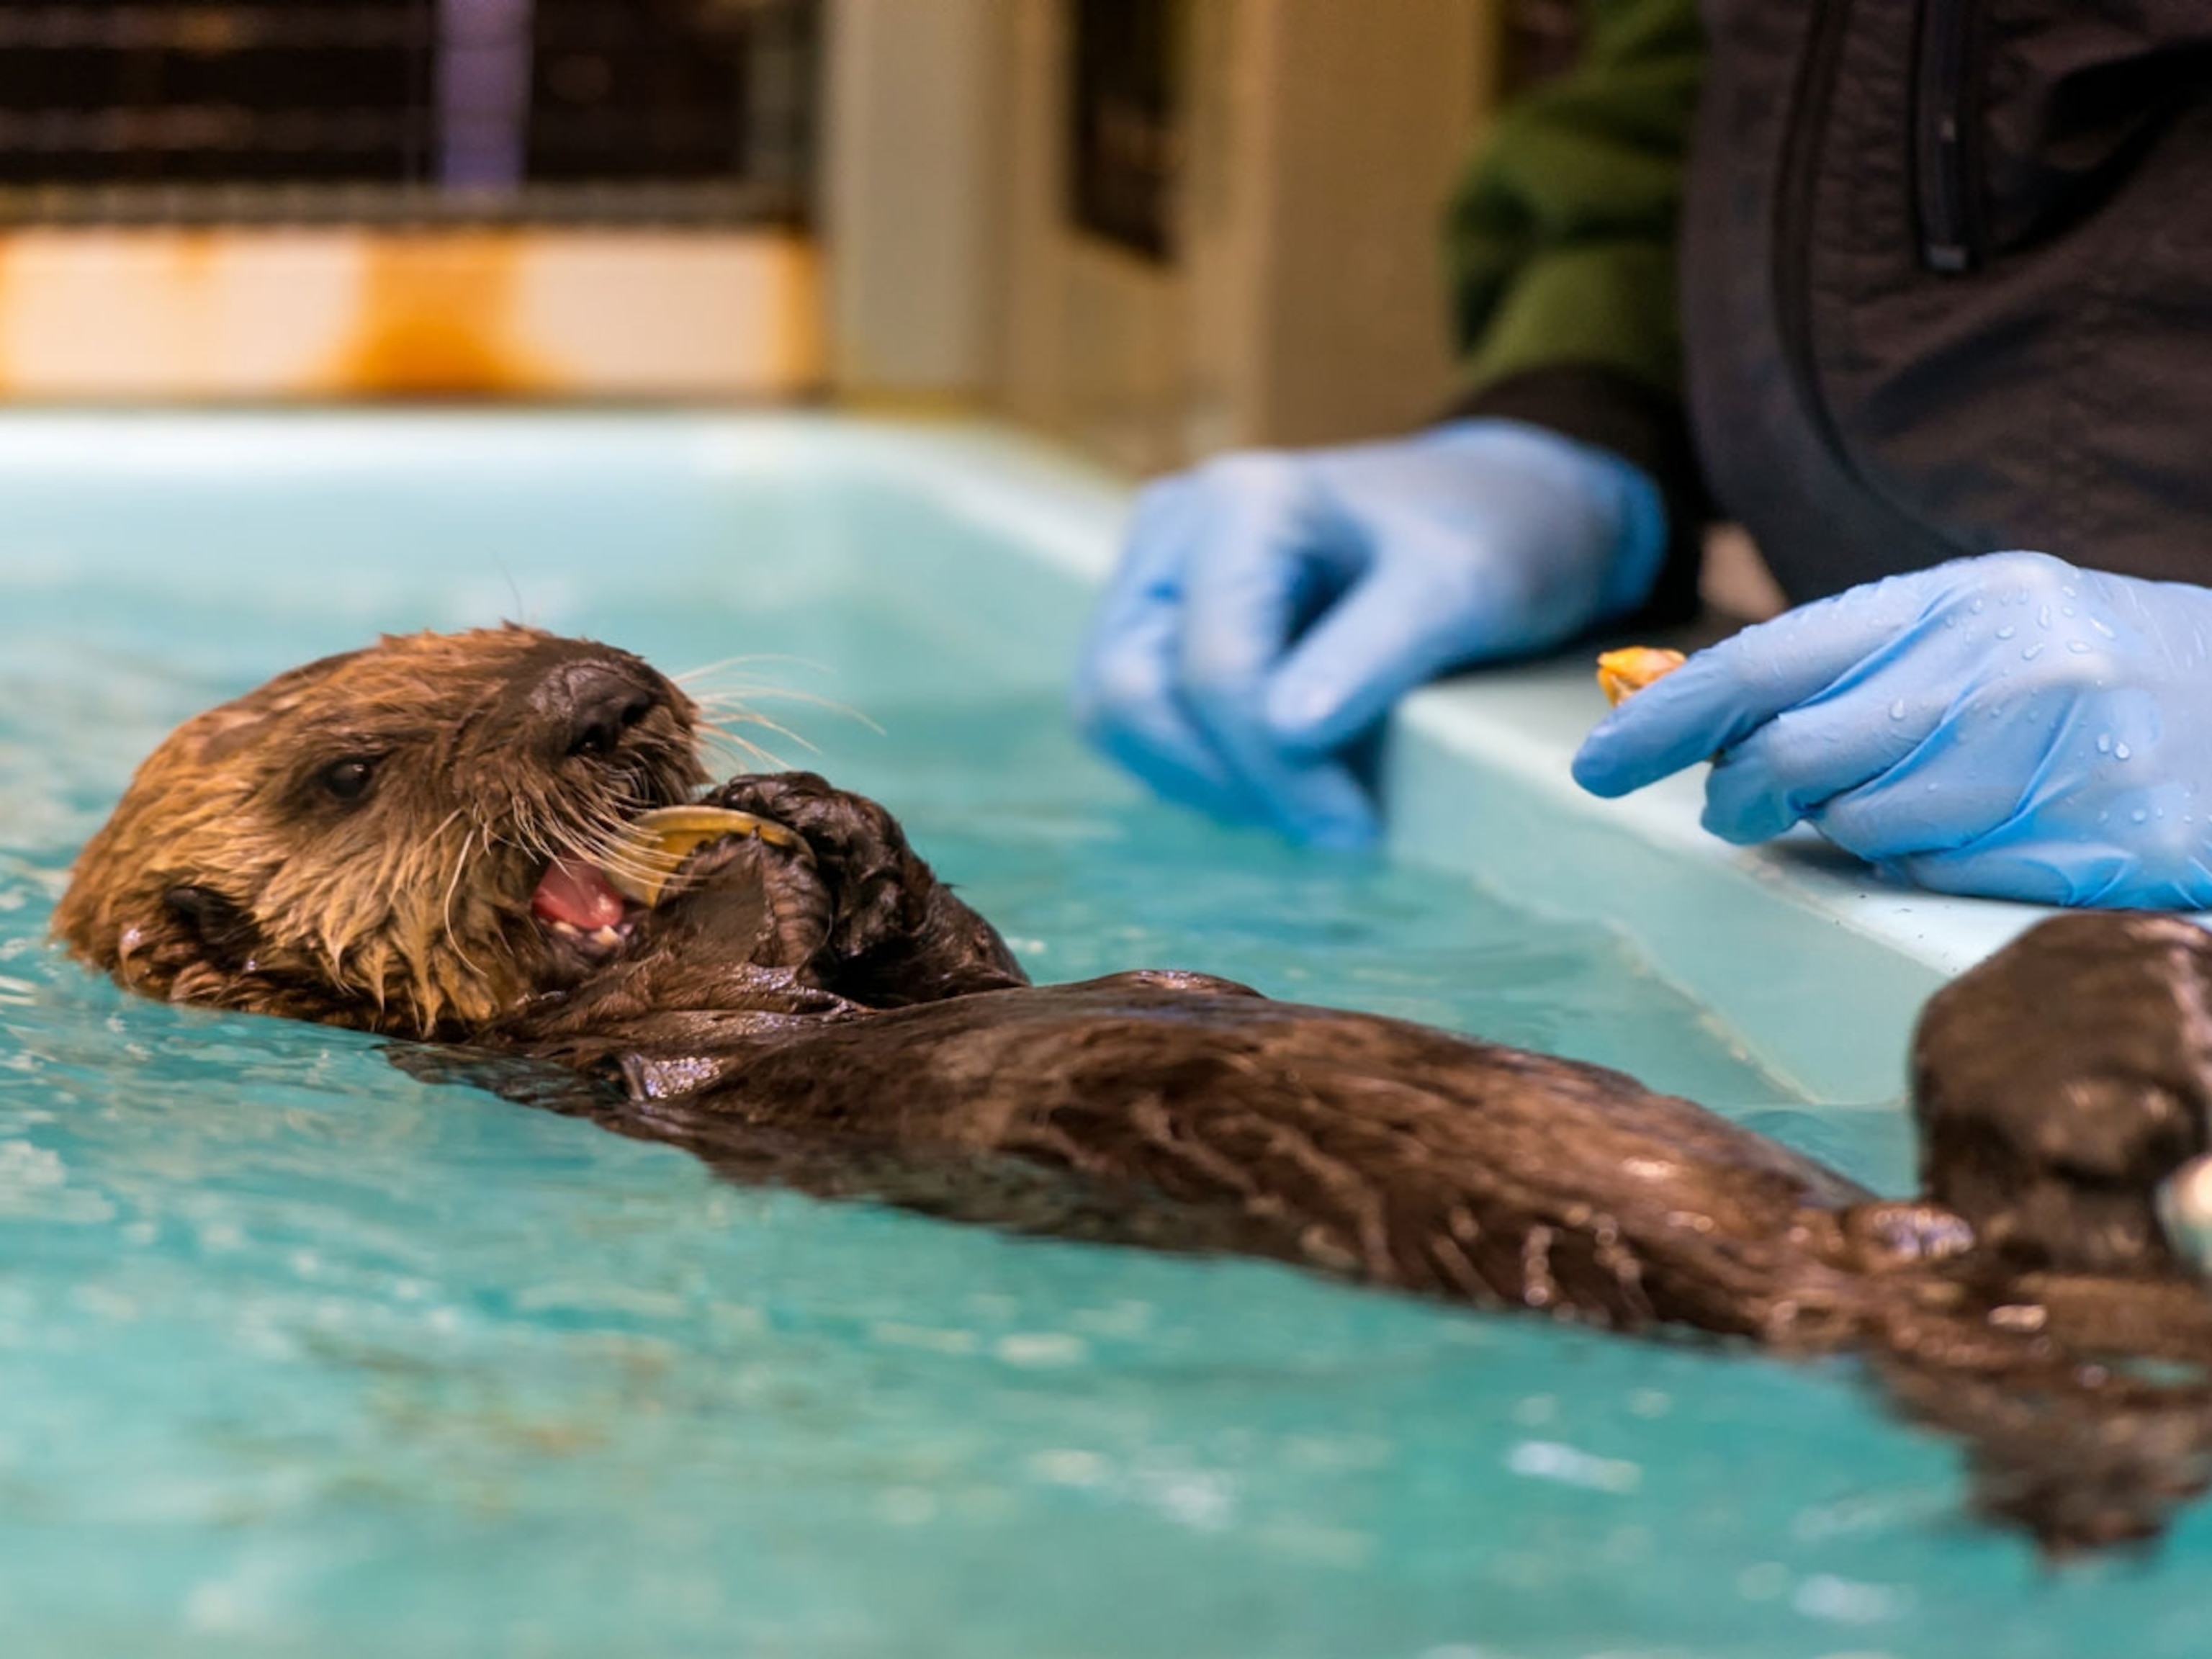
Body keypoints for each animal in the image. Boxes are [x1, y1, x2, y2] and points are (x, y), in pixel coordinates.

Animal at [51, 625, 2212, 1551]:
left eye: (521, 633)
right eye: (350, 772)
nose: (607, 699)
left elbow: (958, 967)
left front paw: (821, 818)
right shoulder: (624, 1063)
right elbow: (707, 996)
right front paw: (744, 870)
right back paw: (2107, 1018)